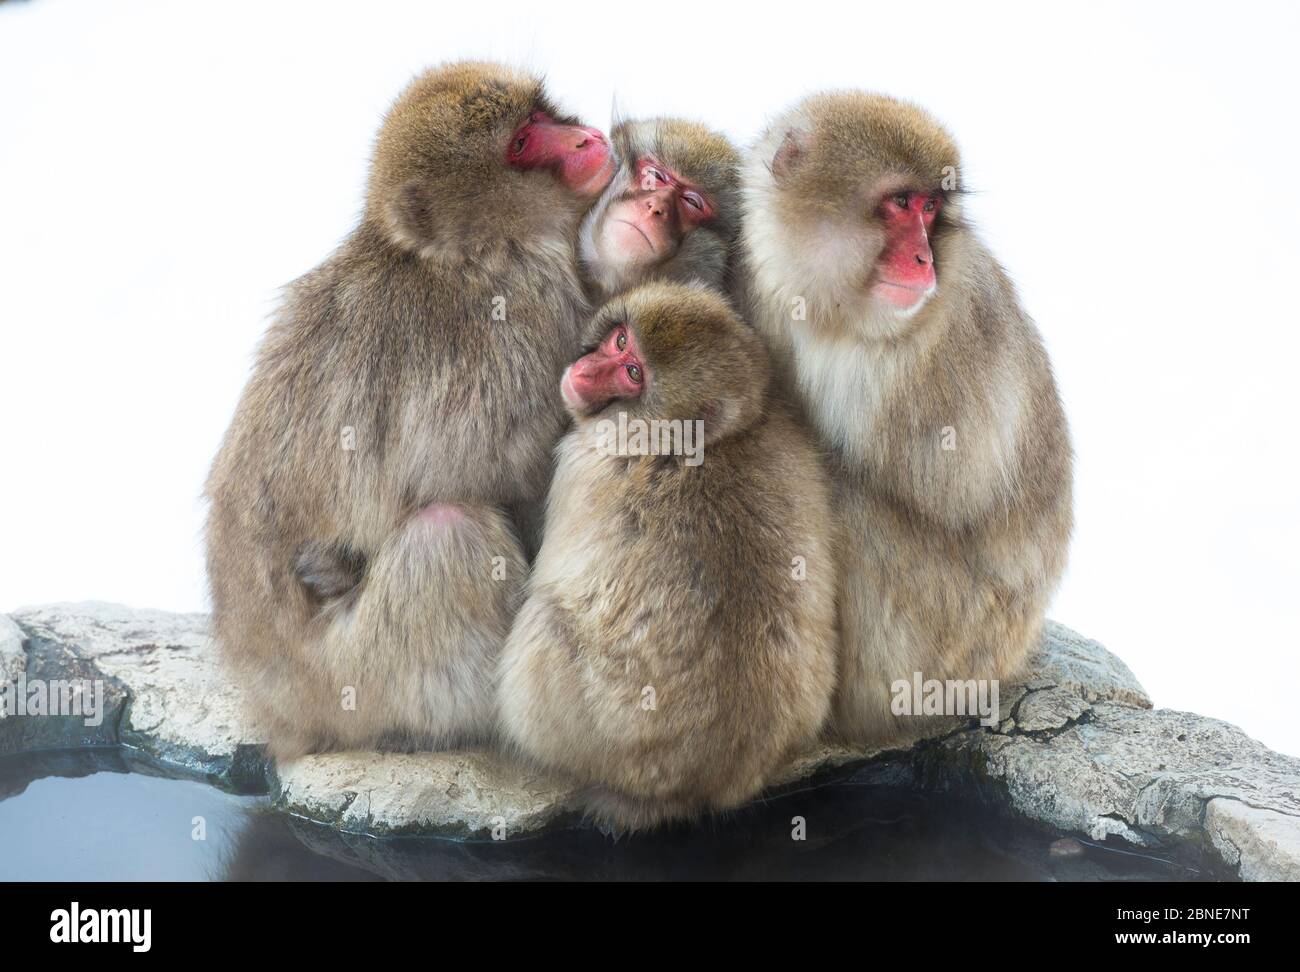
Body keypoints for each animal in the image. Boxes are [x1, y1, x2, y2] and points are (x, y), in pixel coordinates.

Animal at [204, 62, 615, 760]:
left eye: (542, 114)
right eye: (522, 144)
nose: (586, 138)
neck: (468, 253)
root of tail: (278, 701)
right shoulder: (528, 309)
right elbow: (503, 465)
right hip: (362, 677)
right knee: (447, 536)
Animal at [497, 281, 839, 832]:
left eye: (633, 374)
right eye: (620, 342)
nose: (586, 371)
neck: (694, 442)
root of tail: (698, 787)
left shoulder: (583, 464)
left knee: (545, 621)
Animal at [737, 92, 1073, 746]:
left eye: (931, 208)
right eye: (900, 203)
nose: (924, 258)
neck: (826, 310)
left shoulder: (930, 354)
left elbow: (946, 490)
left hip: (944, 651)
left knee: (846, 507)